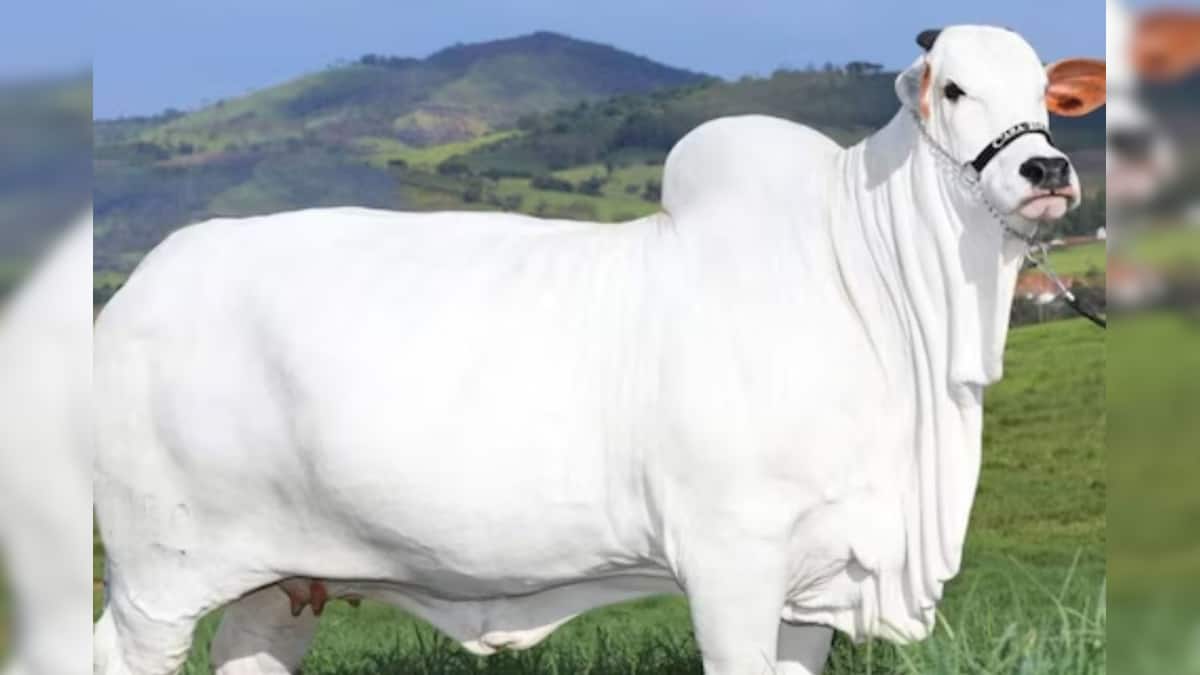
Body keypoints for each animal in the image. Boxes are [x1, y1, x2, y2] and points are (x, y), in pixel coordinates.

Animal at [93, 26, 1105, 675]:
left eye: (1046, 98)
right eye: (954, 88)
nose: (1048, 171)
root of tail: (136, 290)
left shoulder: (814, 580)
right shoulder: (731, 559)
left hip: (280, 581)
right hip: (156, 573)